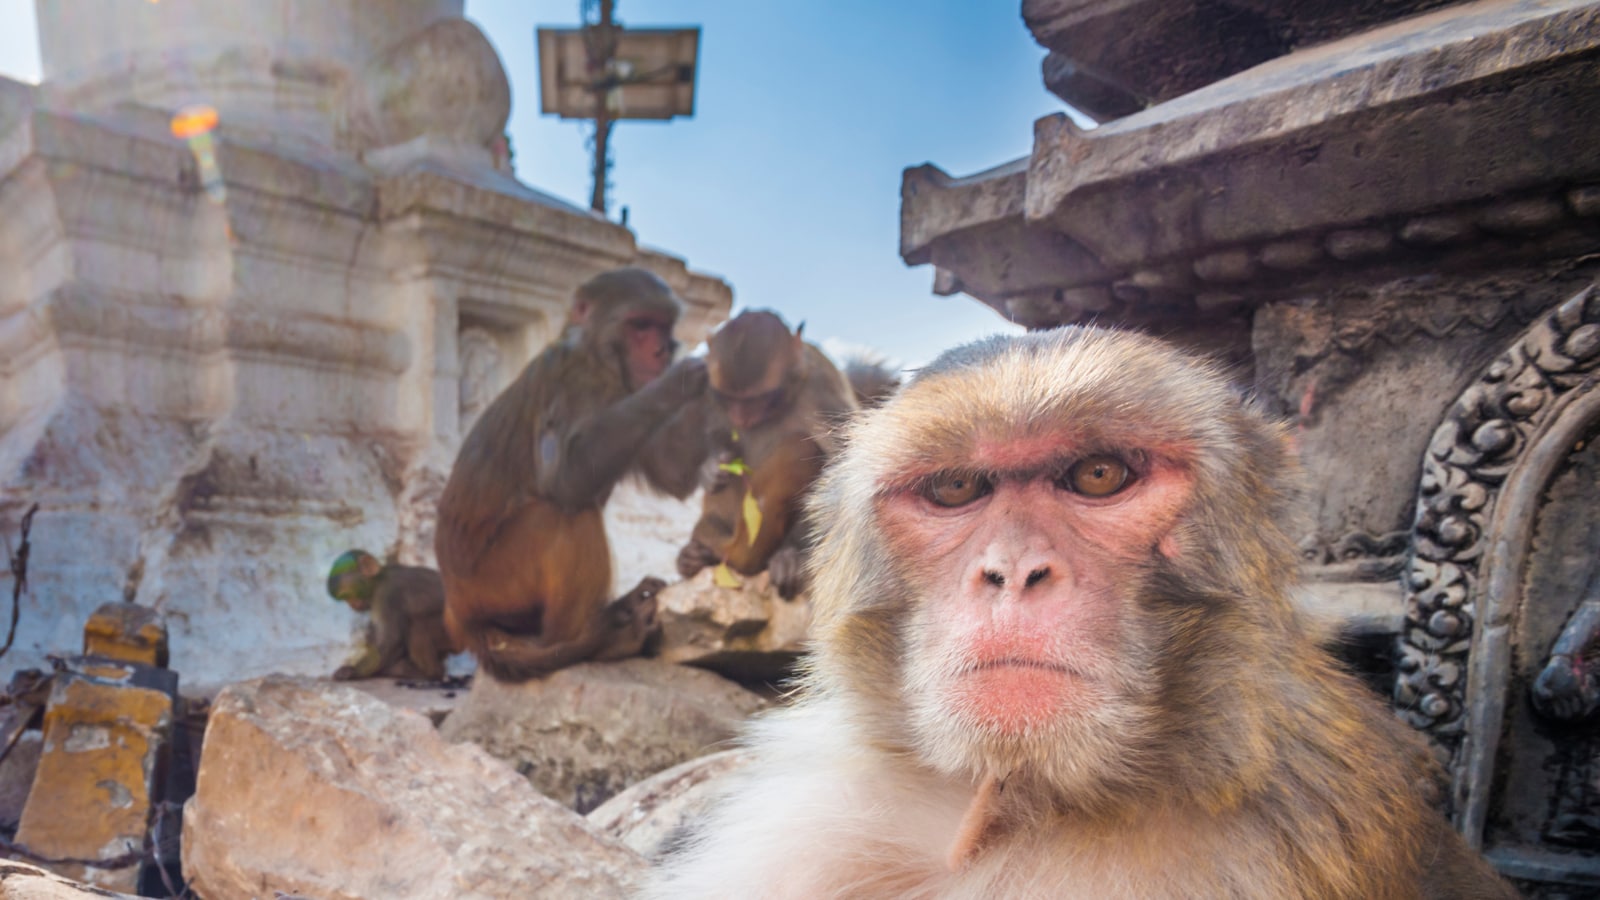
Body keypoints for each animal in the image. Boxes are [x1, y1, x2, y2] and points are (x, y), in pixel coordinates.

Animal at [326, 550, 455, 681]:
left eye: (347, 595)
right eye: (344, 598)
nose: (351, 604)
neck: (379, 580)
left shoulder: (388, 595)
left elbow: (392, 639)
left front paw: (353, 671)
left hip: (450, 633)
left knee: (418, 625)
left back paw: (430, 673)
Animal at [435, 268, 710, 682]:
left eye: (662, 326)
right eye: (640, 325)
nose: (662, 350)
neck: (601, 356)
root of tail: (455, 607)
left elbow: (675, 473)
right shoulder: (575, 379)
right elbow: (564, 476)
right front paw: (682, 379)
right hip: (492, 584)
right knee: (563, 514)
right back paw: (588, 642)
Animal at [674, 310, 858, 599]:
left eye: (759, 399)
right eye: (730, 399)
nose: (742, 418)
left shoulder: (822, 385)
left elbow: (844, 465)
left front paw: (792, 554)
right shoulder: (708, 389)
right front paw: (712, 470)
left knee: (801, 447)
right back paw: (695, 557)